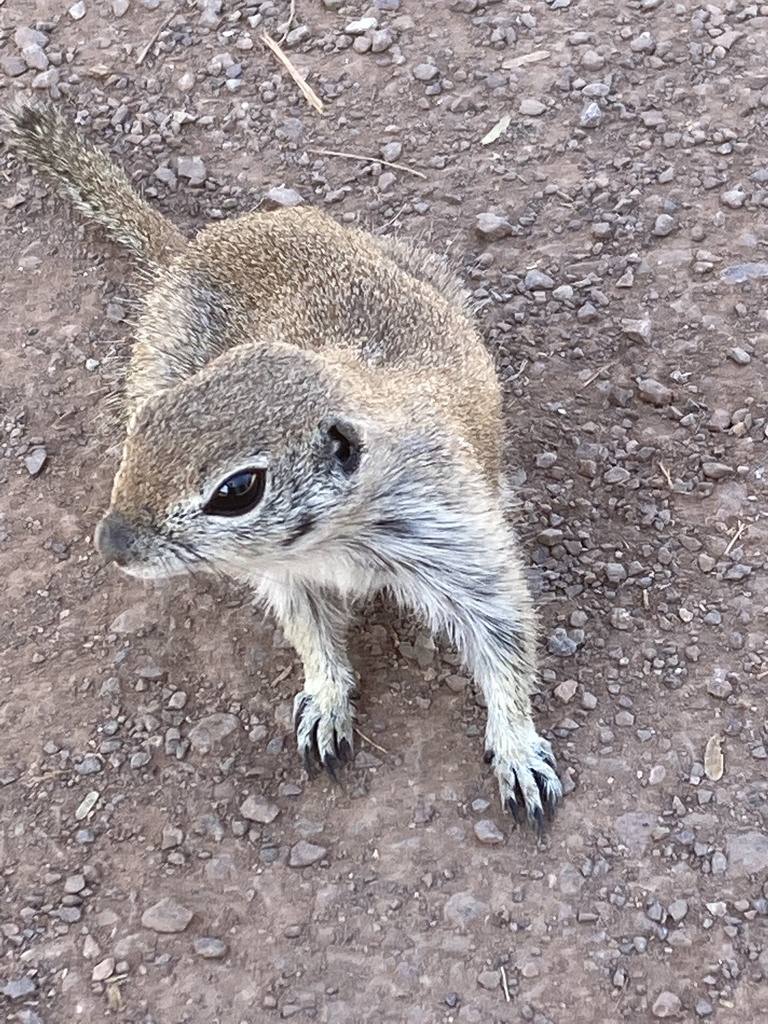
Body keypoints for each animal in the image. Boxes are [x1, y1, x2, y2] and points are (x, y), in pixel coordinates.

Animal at [5, 100, 562, 827]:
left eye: (238, 489)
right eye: (145, 426)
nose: (113, 543)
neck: (335, 538)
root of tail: (190, 248)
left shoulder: (461, 538)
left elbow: (506, 641)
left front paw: (518, 748)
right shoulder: (288, 577)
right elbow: (311, 636)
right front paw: (326, 701)